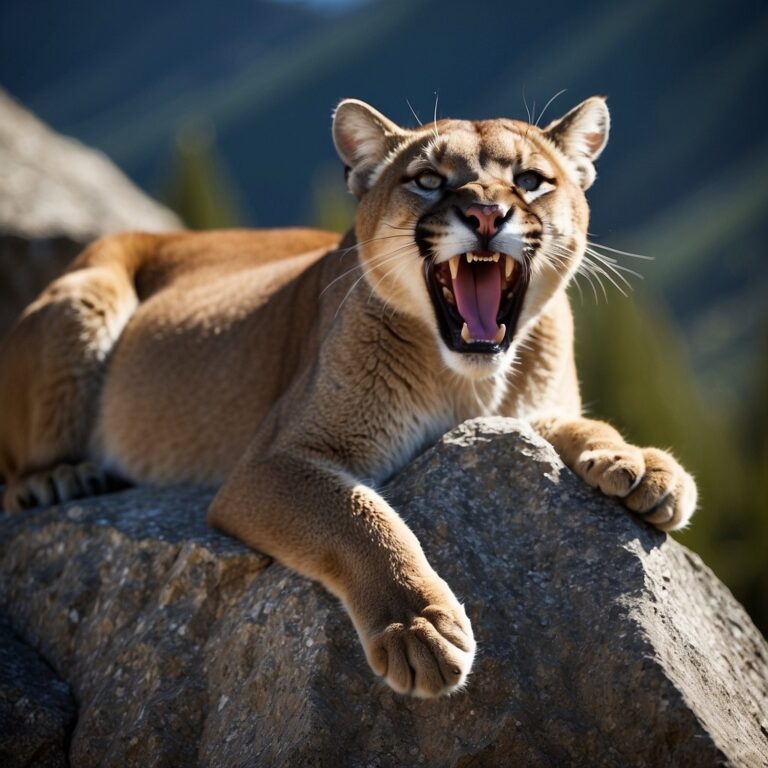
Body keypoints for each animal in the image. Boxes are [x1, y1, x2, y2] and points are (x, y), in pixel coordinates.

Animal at [0, 97, 697, 697]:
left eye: (530, 180)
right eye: (428, 179)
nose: (484, 216)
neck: (467, 381)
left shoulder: (528, 412)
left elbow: (576, 424)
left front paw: (642, 465)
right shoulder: (270, 463)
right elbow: (358, 516)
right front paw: (417, 629)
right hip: (83, 298)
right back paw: (58, 478)